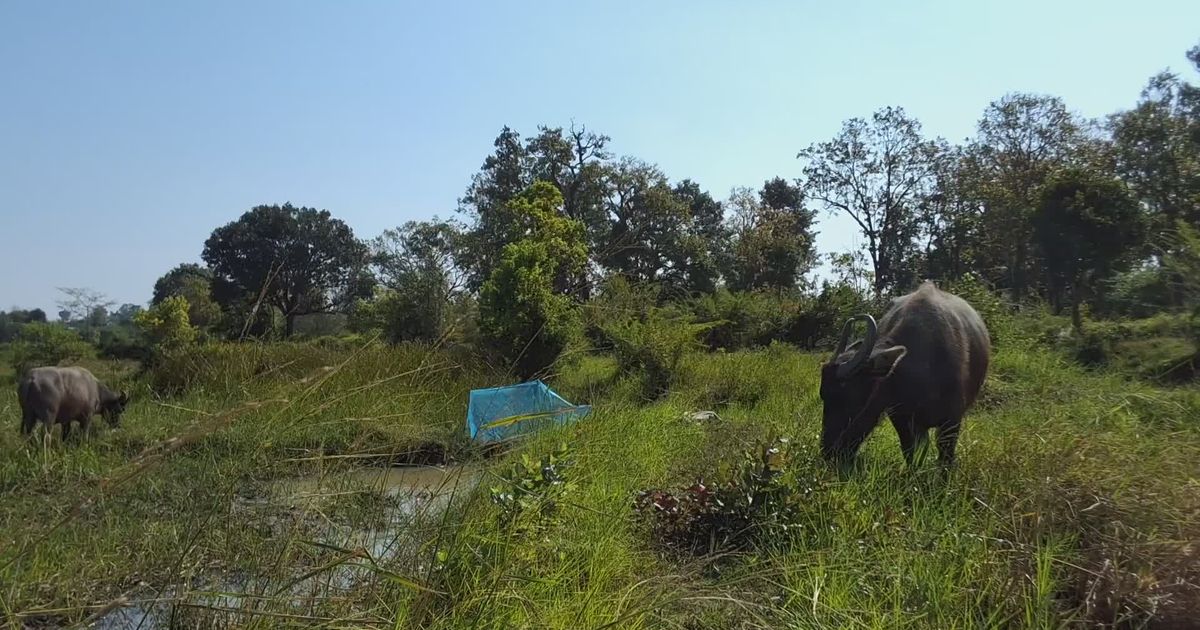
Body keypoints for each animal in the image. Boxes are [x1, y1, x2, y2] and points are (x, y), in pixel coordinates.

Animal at [819, 281, 990, 467]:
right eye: (824, 396)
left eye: (847, 398)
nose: (827, 450)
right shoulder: (901, 416)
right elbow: (911, 451)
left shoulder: (952, 418)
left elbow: (945, 456)